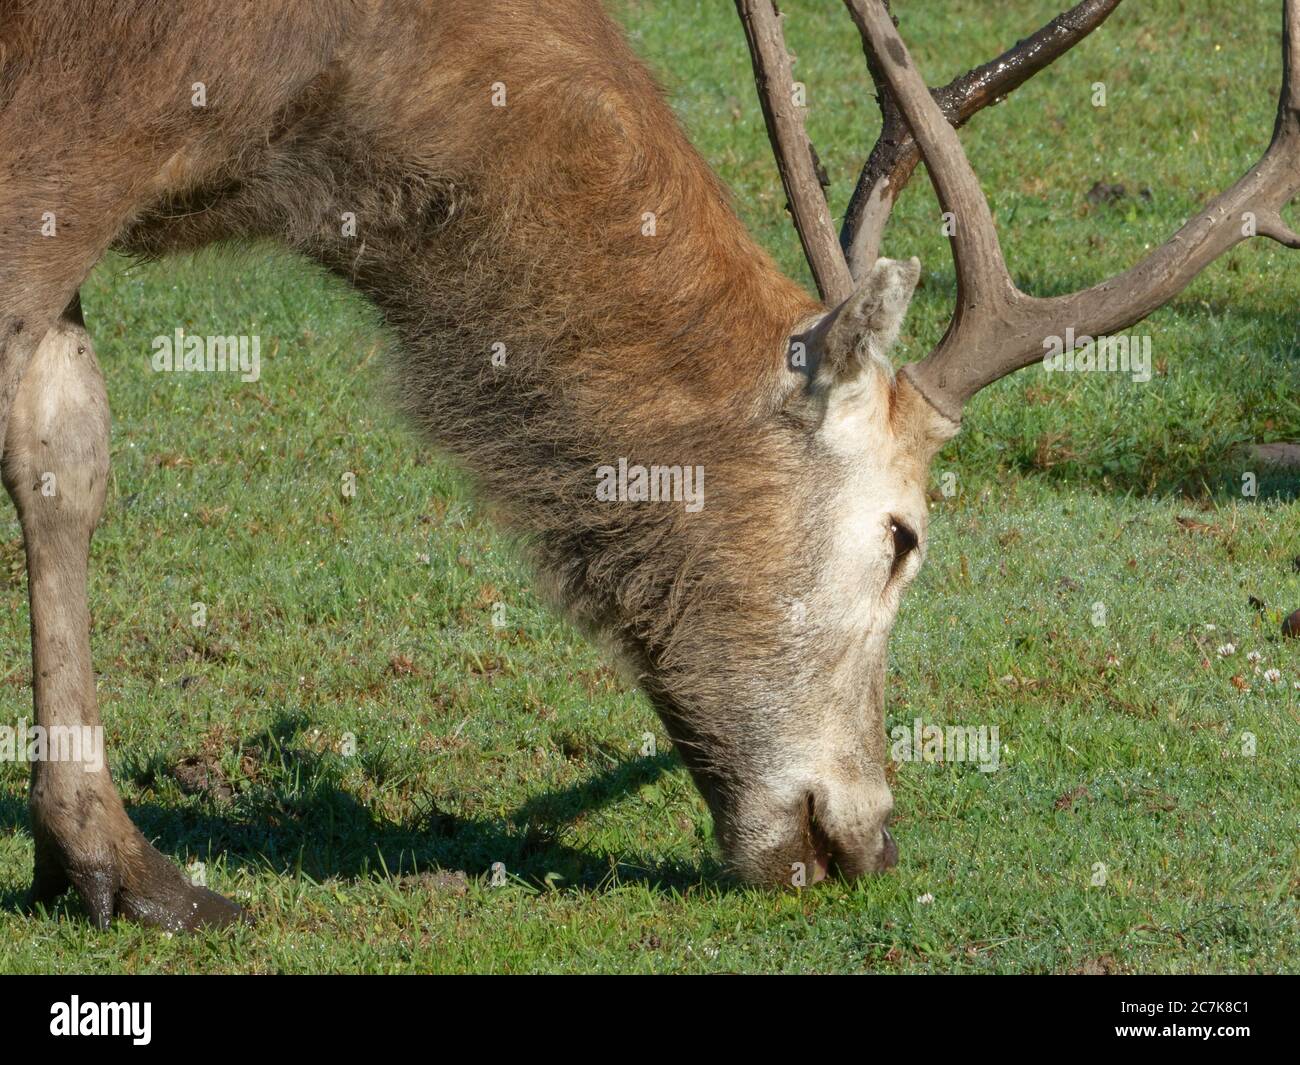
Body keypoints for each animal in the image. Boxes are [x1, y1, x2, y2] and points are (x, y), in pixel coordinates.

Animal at [0, 0, 1297, 932]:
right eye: (903, 539)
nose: (867, 840)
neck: (314, 98)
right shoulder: (64, 139)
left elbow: (65, 453)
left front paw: (101, 864)